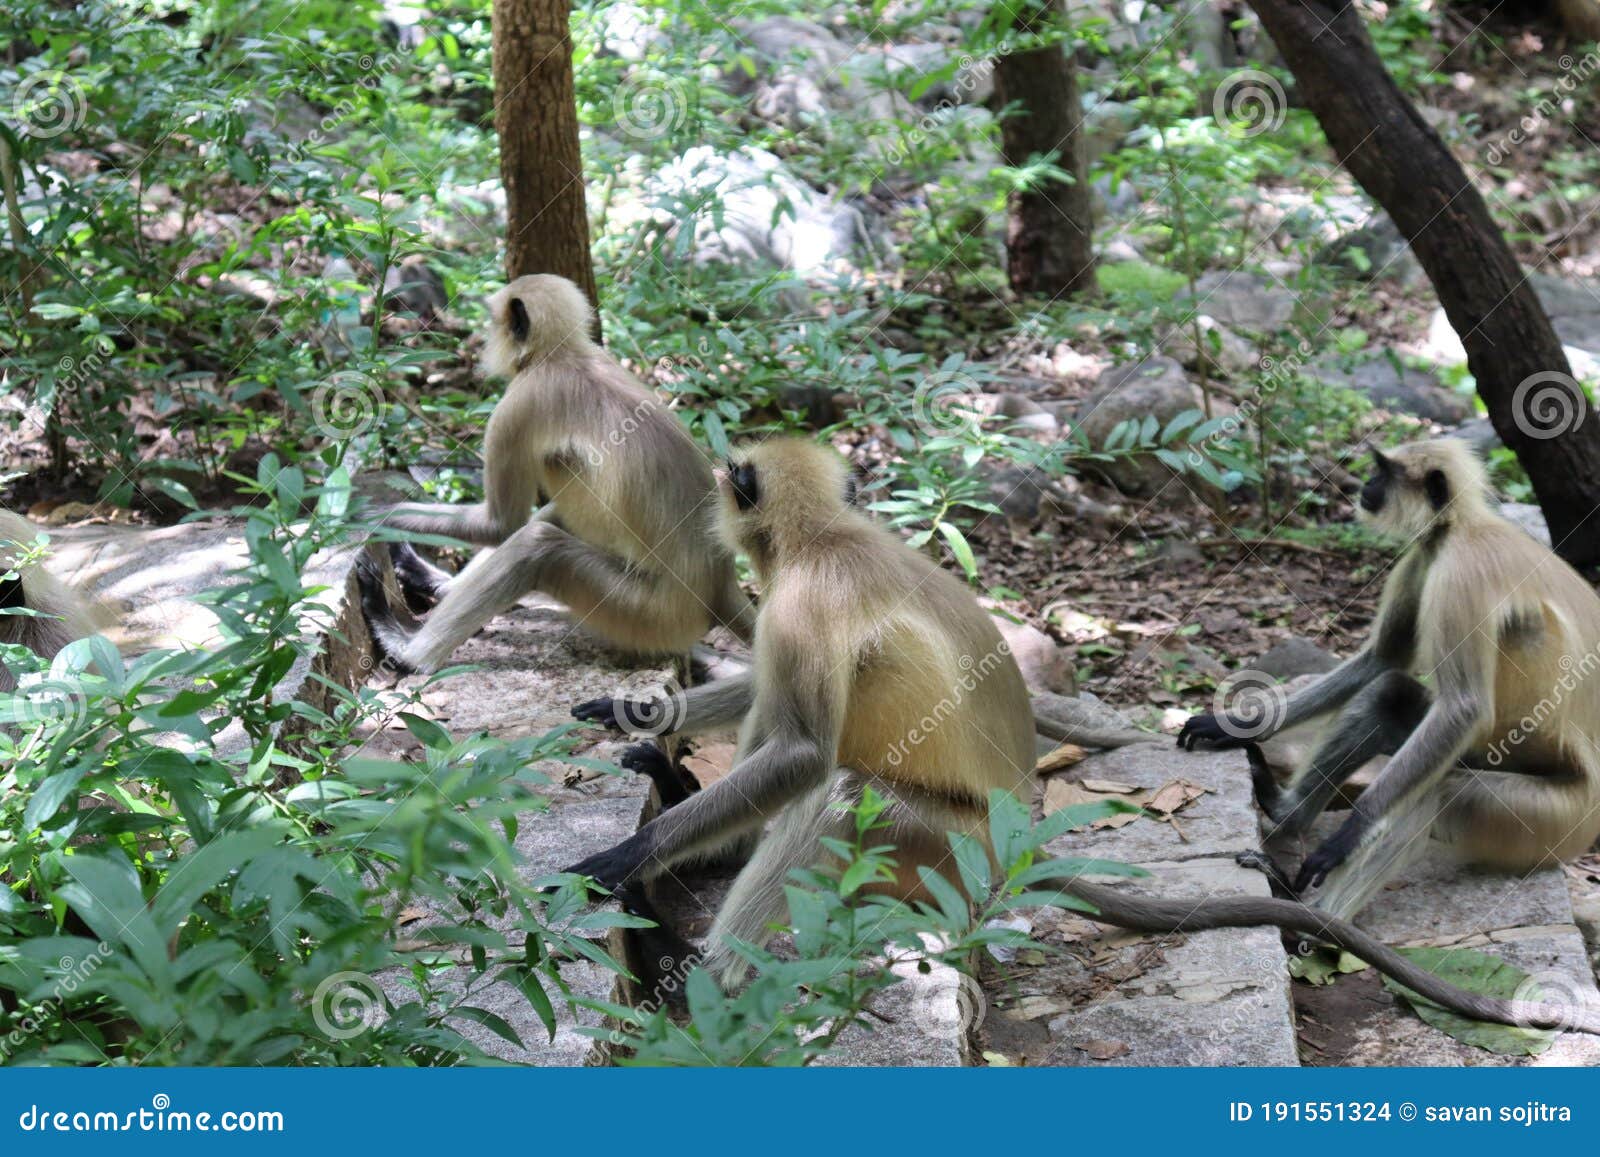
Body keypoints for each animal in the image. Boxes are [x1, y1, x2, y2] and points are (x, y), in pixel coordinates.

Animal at [356, 274, 756, 674]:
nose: (482, 340)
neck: (563, 356)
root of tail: (720, 583)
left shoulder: (518, 406)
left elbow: (499, 525)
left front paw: (373, 516)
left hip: (650, 612)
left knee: (538, 546)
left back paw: (406, 650)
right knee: (552, 517)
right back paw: (435, 584)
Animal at [1178, 438, 1600, 922]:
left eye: (1382, 470)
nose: (1364, 483)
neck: (1455, 528)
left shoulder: (1462, 572)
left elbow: (1463, 707)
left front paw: (1346, 836)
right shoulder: (1424, 556)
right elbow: (1383, 660)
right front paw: (1231, 724)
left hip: (1551, 819)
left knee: (1443, 793)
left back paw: (1317, 919)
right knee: (1389, 695)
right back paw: (1285, 815)